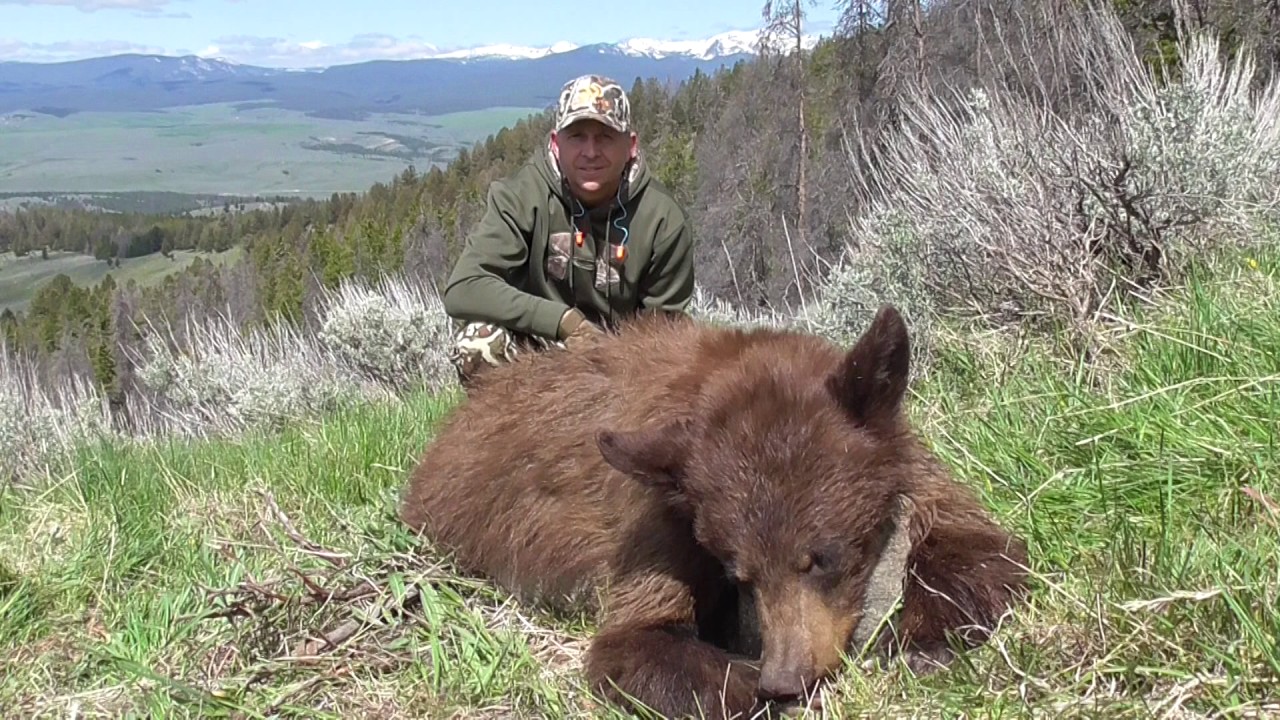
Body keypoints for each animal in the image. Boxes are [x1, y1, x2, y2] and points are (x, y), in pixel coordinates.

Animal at [398, 305, 1029, 719]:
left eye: (821, 557)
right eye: (739, 573)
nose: (783, 679)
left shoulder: (903, 460)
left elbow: (977, 543)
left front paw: (926, 636)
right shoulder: (659, 516)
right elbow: (634, 639)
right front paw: (750, 686)